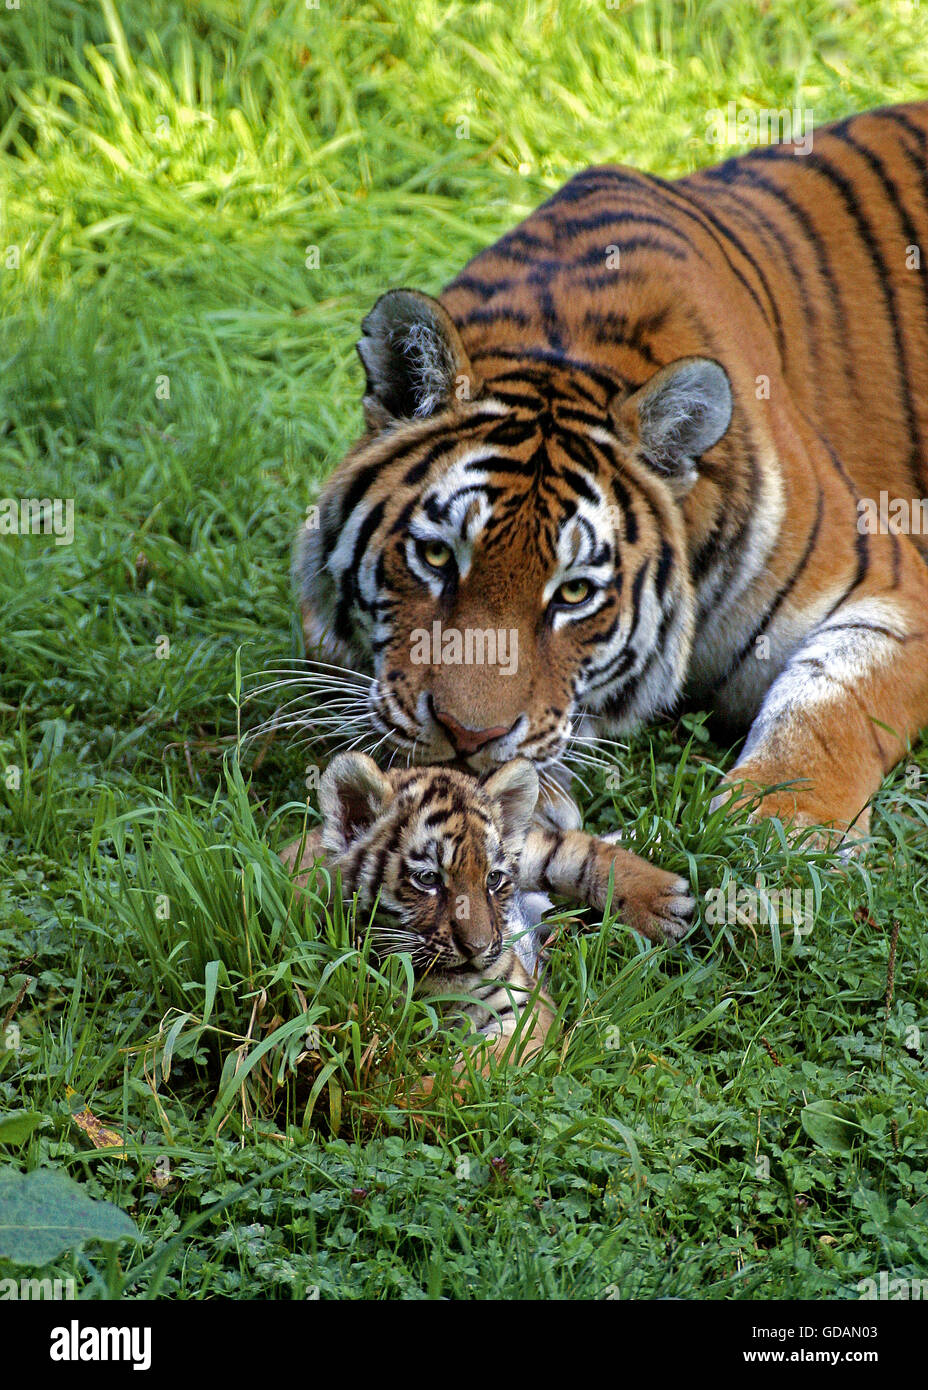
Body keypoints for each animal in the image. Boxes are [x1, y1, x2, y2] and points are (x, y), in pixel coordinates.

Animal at [294, 100, 928, 891]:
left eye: (573, 594)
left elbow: (830, 709)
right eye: (438, 558)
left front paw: (781, 824)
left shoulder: (888, 587)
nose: (470, 737)